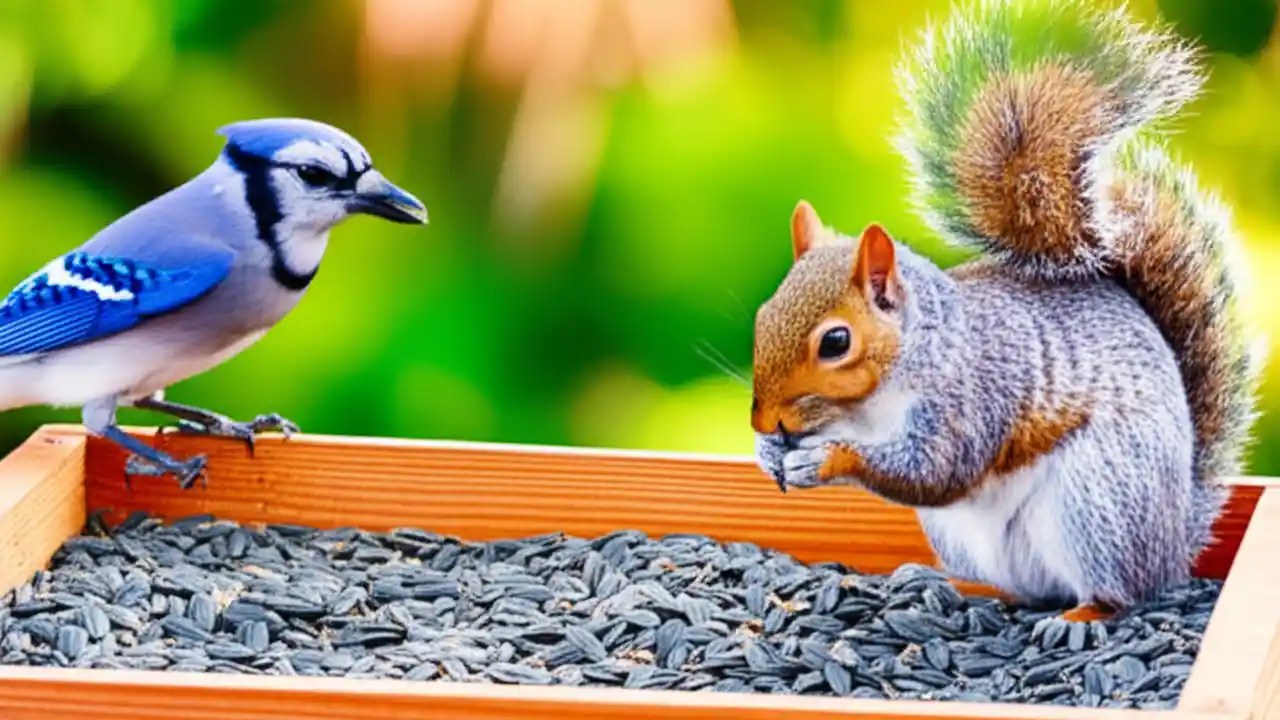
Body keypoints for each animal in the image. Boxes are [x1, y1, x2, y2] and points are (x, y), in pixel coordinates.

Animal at [750, 0, 1263, 621]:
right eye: (762, 317)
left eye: (835, 342)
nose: (763, 421)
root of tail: (1173, 541)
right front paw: (768, 453)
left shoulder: (973, 398)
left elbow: (936, 469)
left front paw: (826, 460)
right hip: (968, 538)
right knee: (1027, 586)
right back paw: (961, 589)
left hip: (1099, 499)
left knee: (1117, 590)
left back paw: (1083, 614)